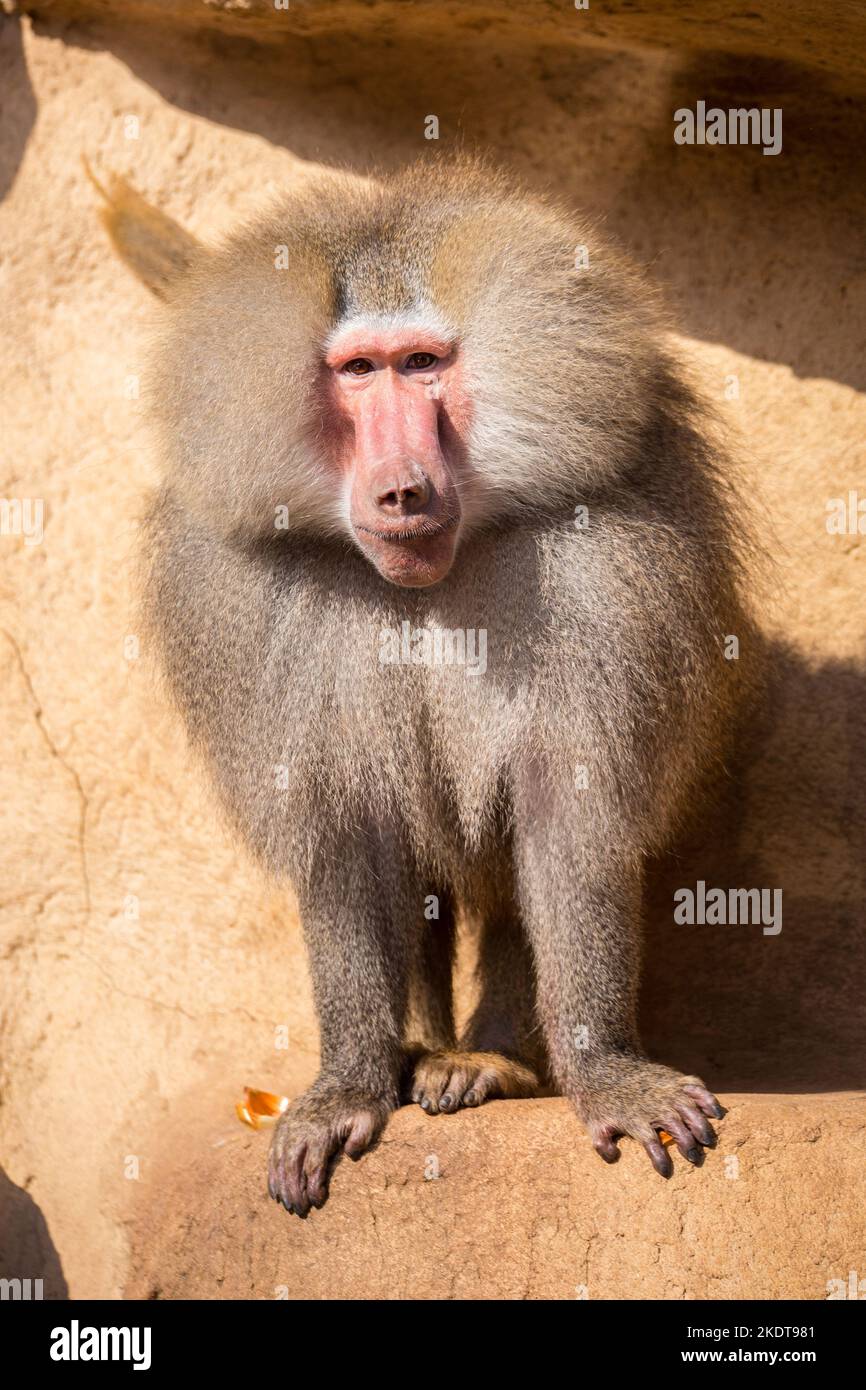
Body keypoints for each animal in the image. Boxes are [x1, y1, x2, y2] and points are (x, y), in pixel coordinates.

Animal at [94, 156, 750, 1216]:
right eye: (359, 372)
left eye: (424, 363)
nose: (402, 489)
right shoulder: (268, 622)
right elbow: (344, 842)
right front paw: (347, 1089)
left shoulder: (598, 572)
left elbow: (569, 819)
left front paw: (607, 1071)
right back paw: (418, 1050)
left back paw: (486, 1063)